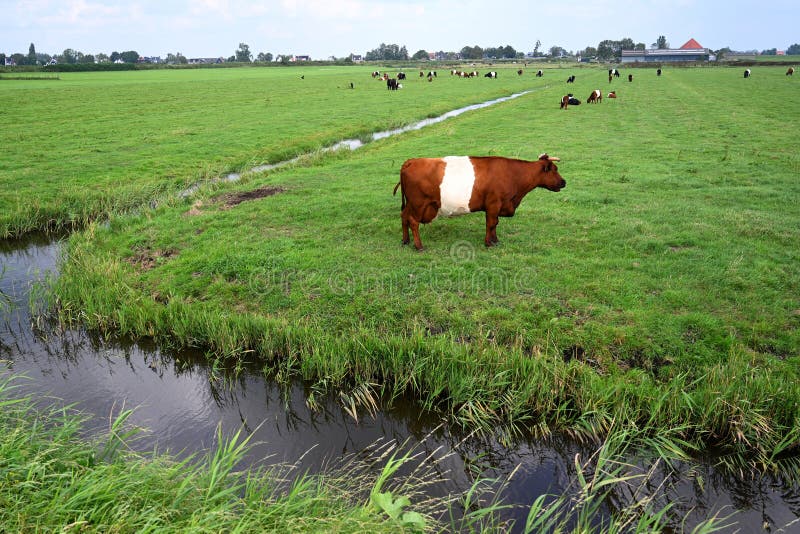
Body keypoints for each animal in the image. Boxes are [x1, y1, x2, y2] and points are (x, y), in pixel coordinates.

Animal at [394, 154, 566, 249]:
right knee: (413, 221)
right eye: (555, 170)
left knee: (404, 217)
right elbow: (491, 223)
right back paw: (419, 246)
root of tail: (410, 161)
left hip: (411, 204)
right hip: (418, 204)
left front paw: (495, 241)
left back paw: (405, 241)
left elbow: (495, 224)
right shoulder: (494, 204)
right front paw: (489, 243)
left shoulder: (496, 206)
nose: (564, 182)